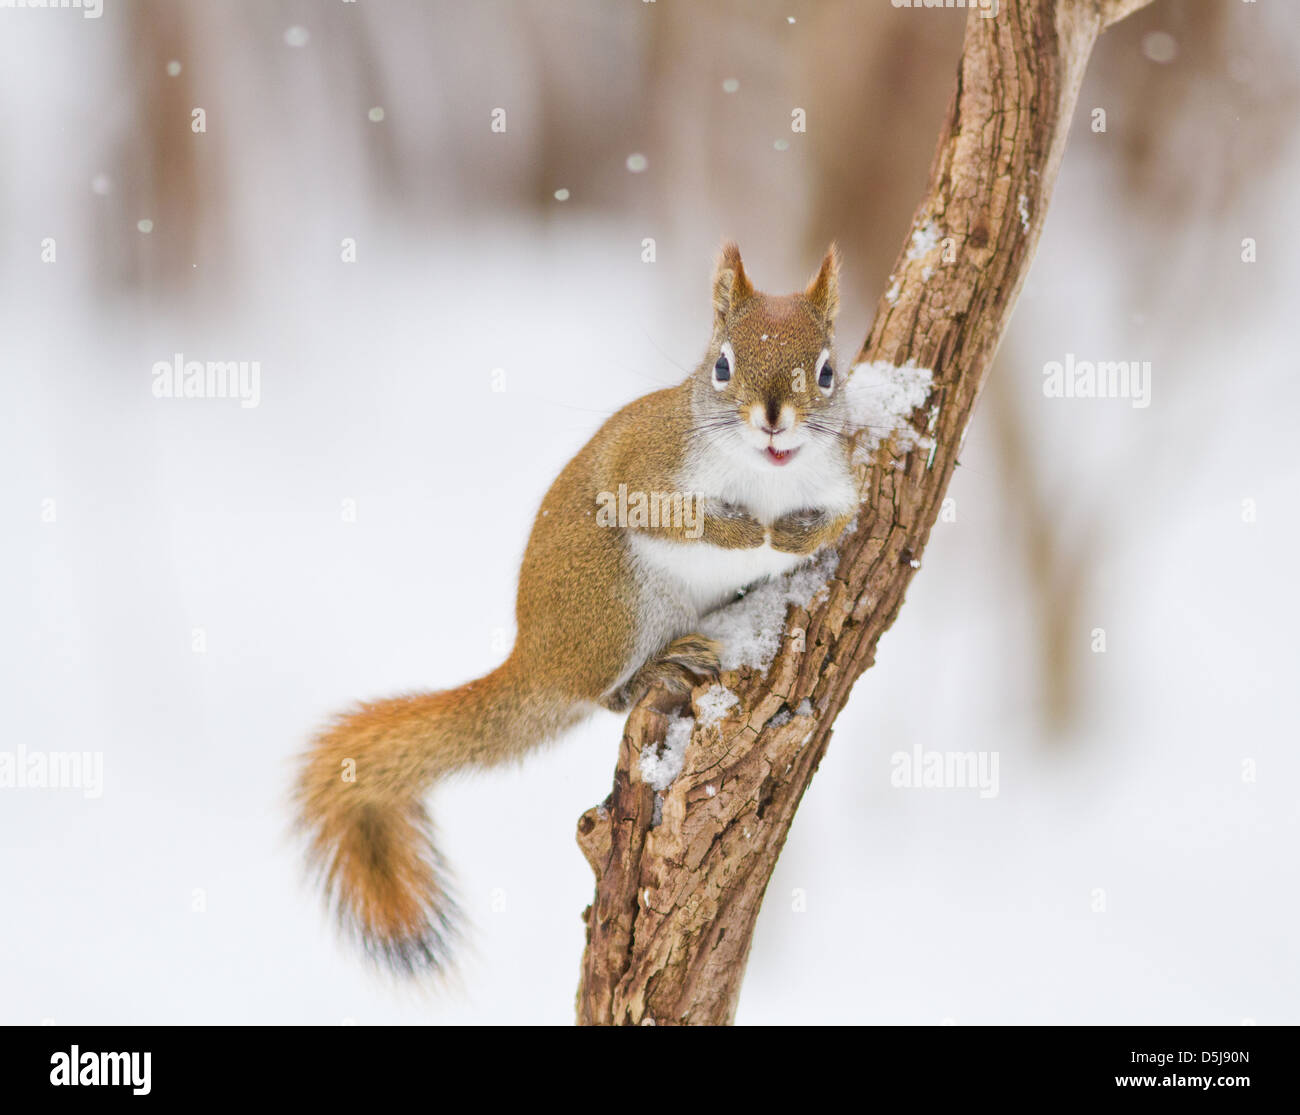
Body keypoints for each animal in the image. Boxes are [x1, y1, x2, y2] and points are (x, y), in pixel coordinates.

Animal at [294, 242, 859, 974]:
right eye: (722, 365)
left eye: (828, 372)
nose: (772, 419)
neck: (768, 476)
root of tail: (533, 659)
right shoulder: (642, 466)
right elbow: (663, 511)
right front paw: (743, 530)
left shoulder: (843, 485)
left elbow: (837, 520)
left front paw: (789, 537)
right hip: (614, 603)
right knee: (604, 694)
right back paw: (661, 667)